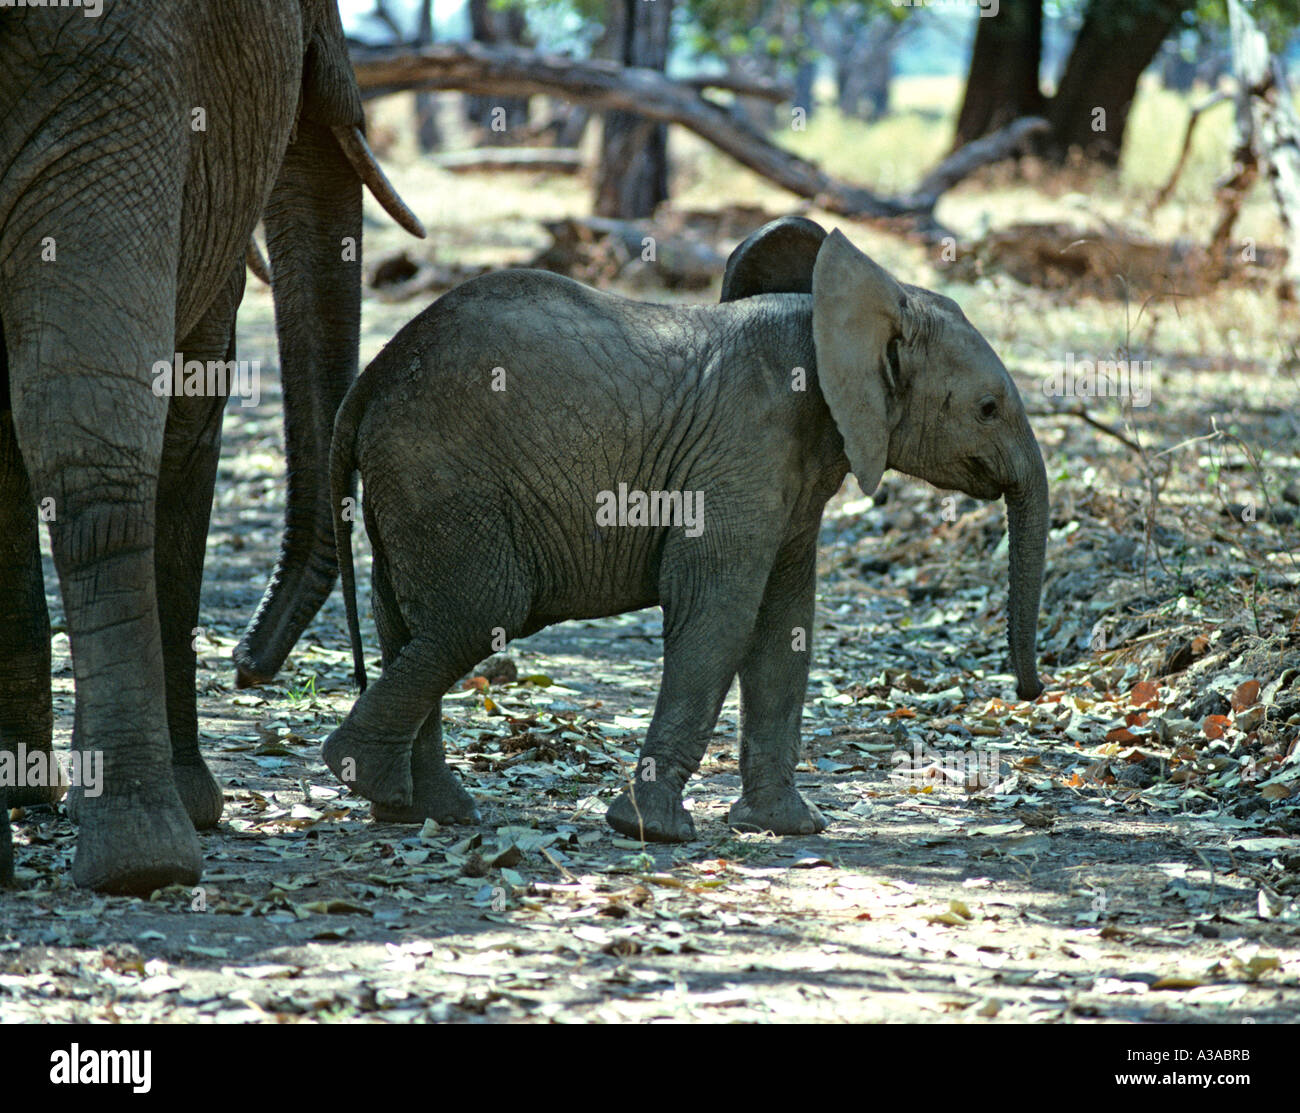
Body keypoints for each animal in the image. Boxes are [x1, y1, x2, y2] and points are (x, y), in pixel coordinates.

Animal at [321, 216, 1049, 843]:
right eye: (988, 409)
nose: (1030, 691)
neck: (828, 321)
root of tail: (370, 381)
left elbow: (785, 626)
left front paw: (787, 827)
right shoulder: (742, 449)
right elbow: (718, 615)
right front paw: (655, 831)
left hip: (408, 485)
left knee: (408, 623)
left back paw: (420, 810)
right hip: (440, 471)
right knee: (480, 612)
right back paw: (365, 776)